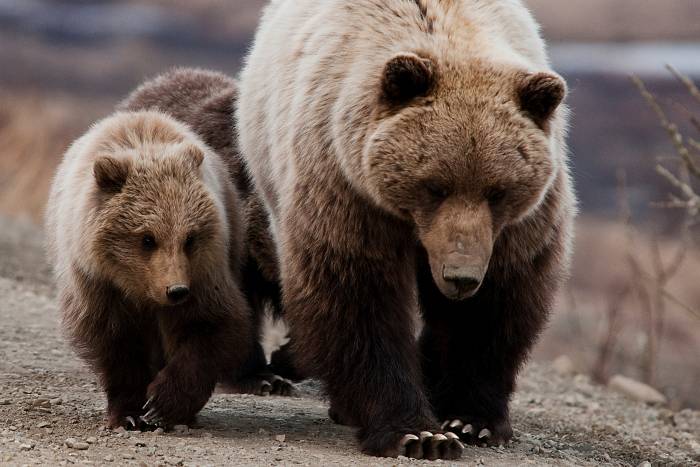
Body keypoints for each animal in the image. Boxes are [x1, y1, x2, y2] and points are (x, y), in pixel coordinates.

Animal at [46, 110, 254, 429]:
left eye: (189, 238)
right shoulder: (98, 284)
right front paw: (130, 413)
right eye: (147, 238)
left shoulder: (204, 274)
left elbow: (208, 326)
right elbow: (115, 344)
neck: (140, 289)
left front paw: (163, 405)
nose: (176, 290)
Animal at [237, 0, 575, 460]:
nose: (460, 277)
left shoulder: (515, 228)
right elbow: (359, 300)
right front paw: (418, 434)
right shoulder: (346, 186)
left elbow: (495, 306)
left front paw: (471, 420)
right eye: (435, 185)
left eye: (498, 190)